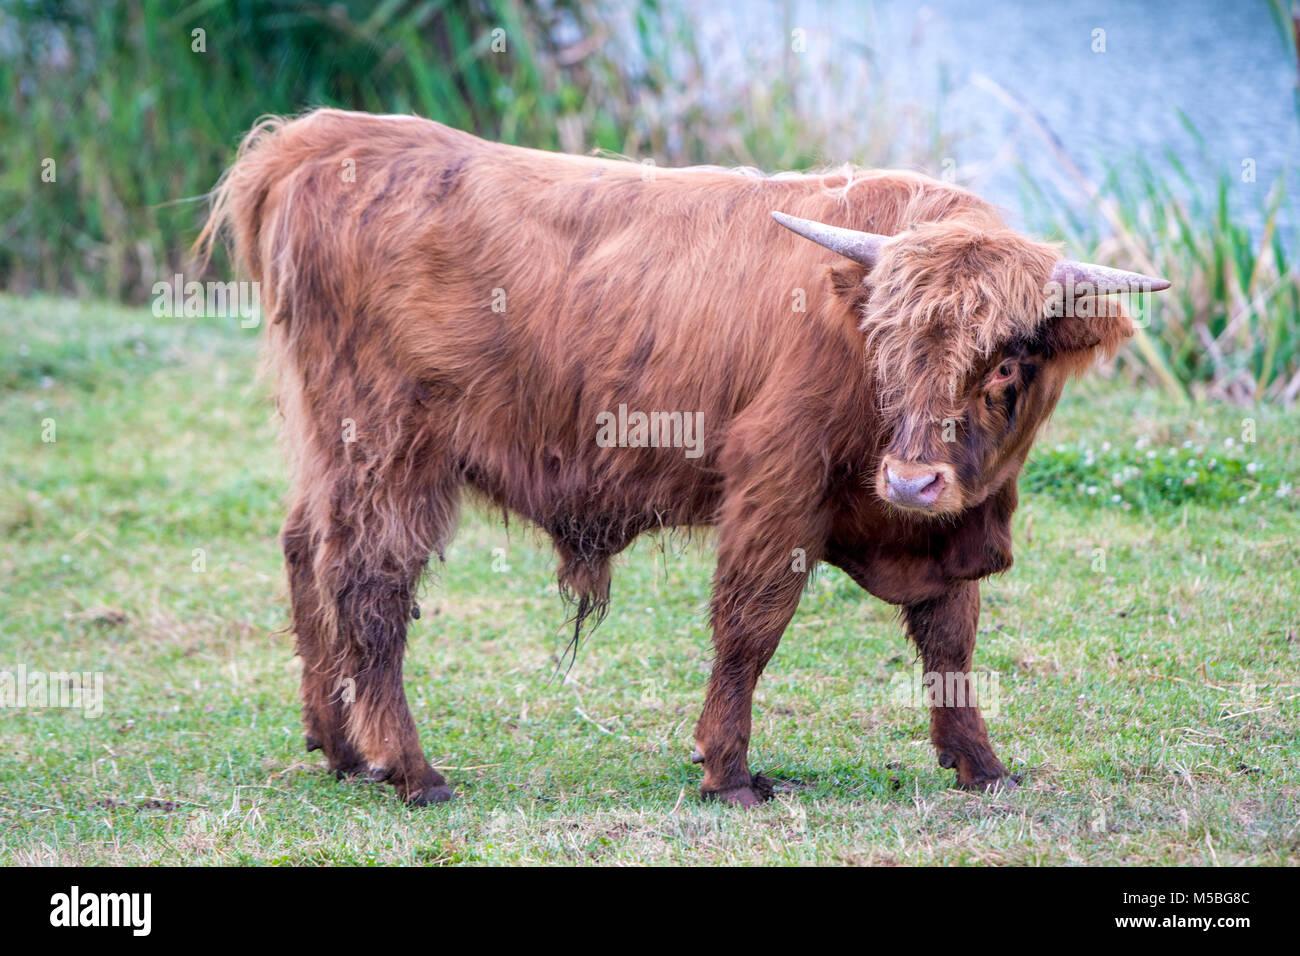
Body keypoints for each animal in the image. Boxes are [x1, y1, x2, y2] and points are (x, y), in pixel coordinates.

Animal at [197, 108, 1170, 807]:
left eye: (1006, 361)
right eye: (886, 347)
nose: (910, 477)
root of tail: (322, 137)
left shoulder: (951, 516)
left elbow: (950, 635)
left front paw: (980, 763)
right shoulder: (777, 482)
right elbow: (751, 626)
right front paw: (729, 772)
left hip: (332, 447)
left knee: (303, 550)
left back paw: (339, 747)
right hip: (389, 448)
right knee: (370, 584)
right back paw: (412, 771)